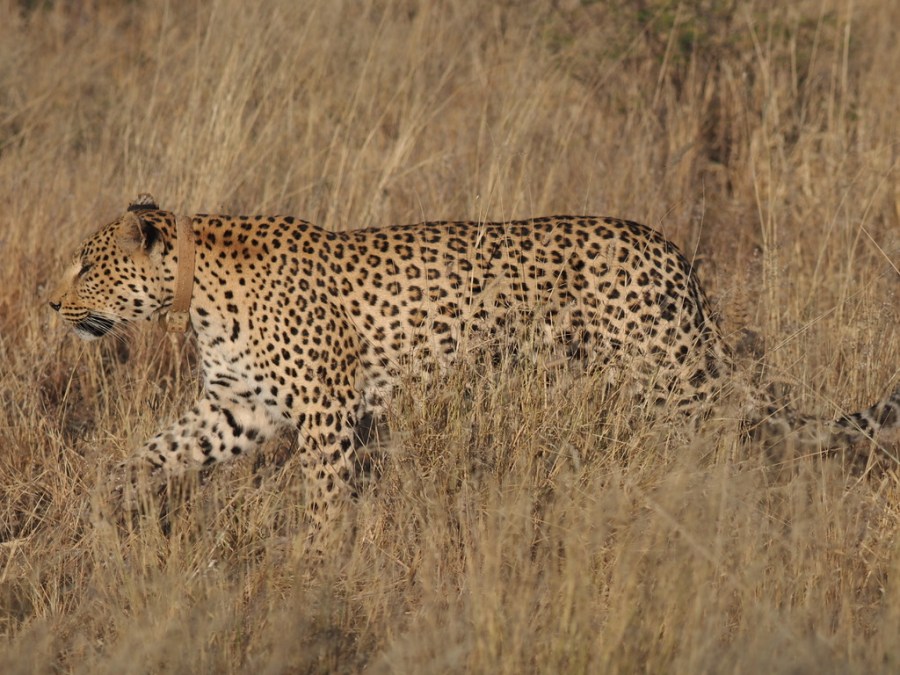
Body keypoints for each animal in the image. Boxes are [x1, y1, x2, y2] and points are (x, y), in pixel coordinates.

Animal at [49, 194, 900, 525]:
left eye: (88, 265)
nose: (51, 305)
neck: (192, 293)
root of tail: (671, 249)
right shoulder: (237, 408)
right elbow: (154, 451)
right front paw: (100, 505)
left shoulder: (326, 412)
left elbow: (324, 503)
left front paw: (314, 570)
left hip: (668, 373)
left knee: (739, 427)